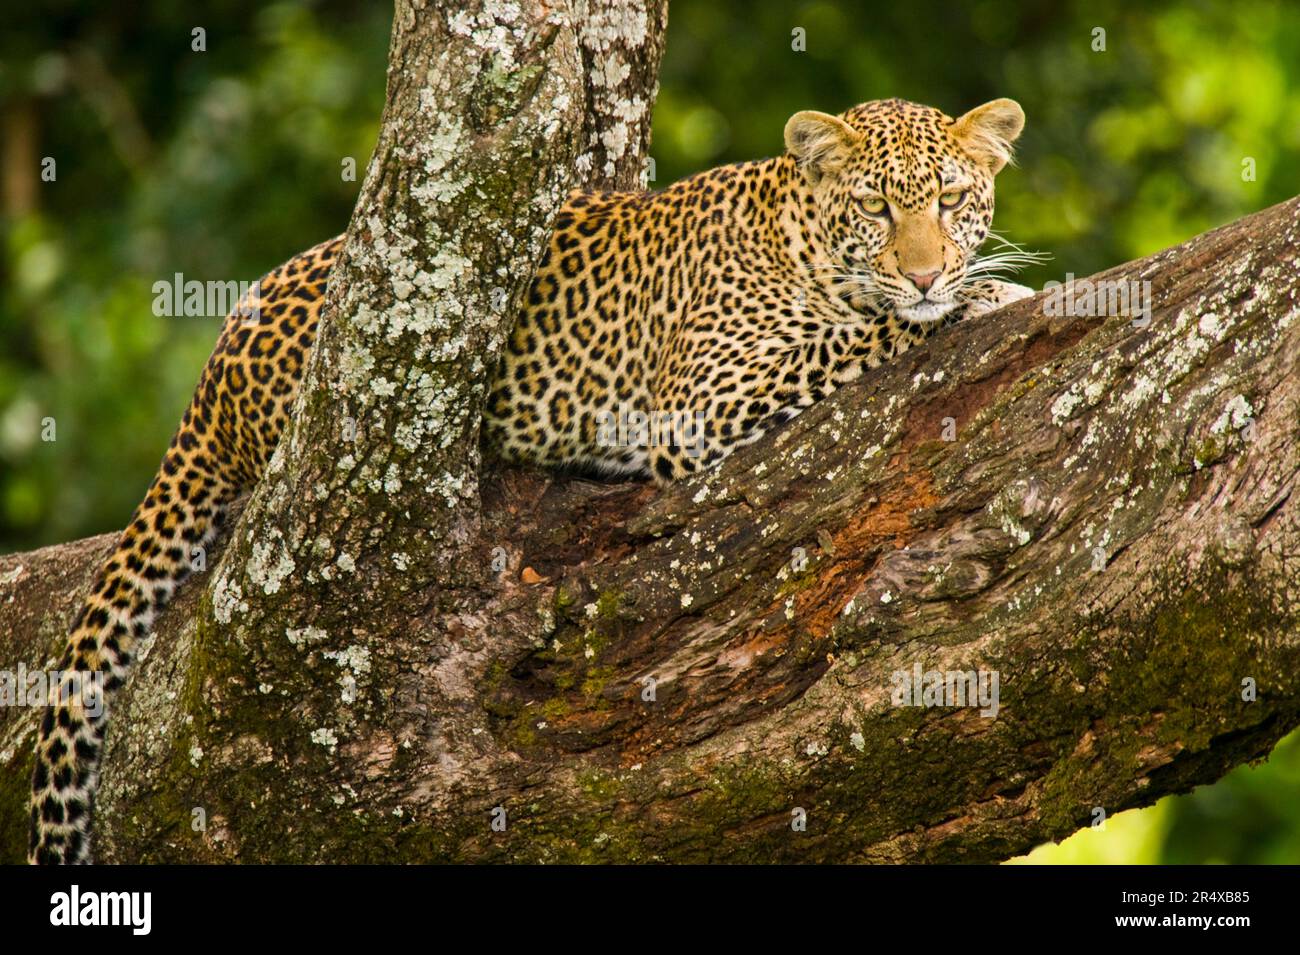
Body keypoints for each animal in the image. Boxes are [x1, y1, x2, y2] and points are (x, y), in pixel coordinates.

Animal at [30, 96, 1035, 863]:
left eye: (951, 199)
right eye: (876, 208)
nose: (927, 272)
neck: (803, 237)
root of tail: (213, 371)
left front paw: (975, 285)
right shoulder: (702, 399)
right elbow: (864, 334)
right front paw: (987, 295)